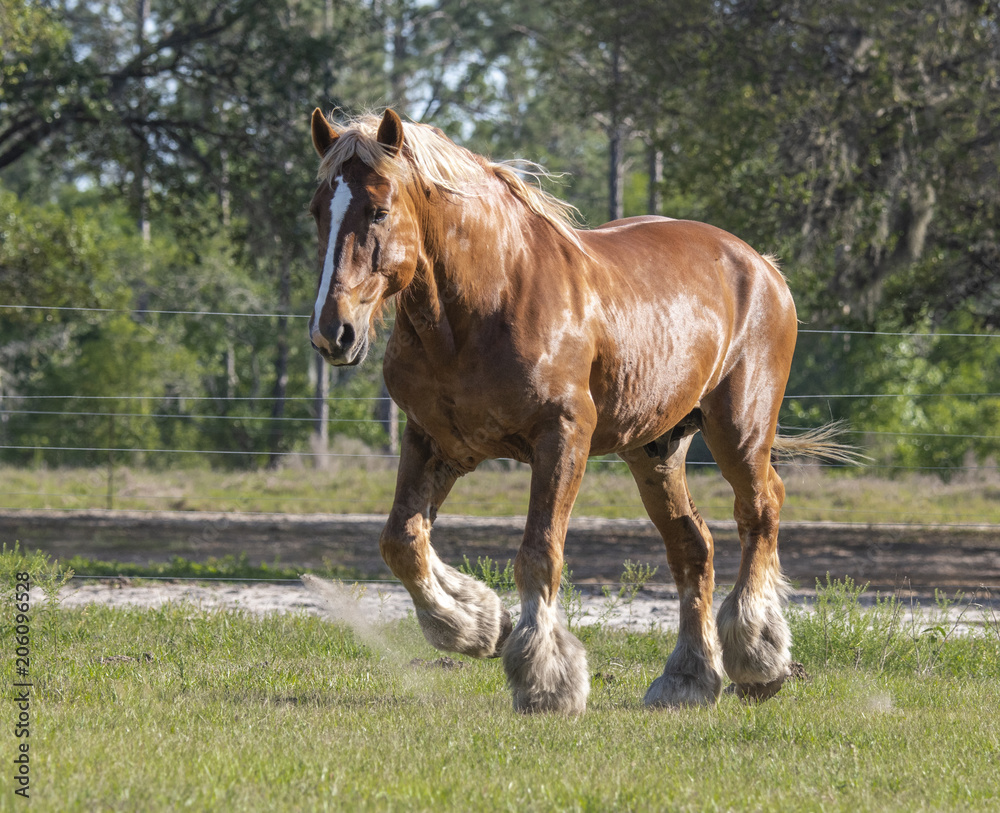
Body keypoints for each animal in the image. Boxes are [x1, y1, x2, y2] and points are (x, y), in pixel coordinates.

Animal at [307, 108, 845, 714]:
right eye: (318, 211)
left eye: (379, 209)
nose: (333, 332)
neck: (484, 304)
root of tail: (762, 265)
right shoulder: (436, 441)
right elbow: (402, 540)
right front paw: (477, 623)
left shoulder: (562, 437)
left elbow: (539, 553)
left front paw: (544, 679)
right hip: (655, 450)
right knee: (692, 546)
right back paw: (687, 677)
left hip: (740, 432)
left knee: (760, 511)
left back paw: (758, 657)